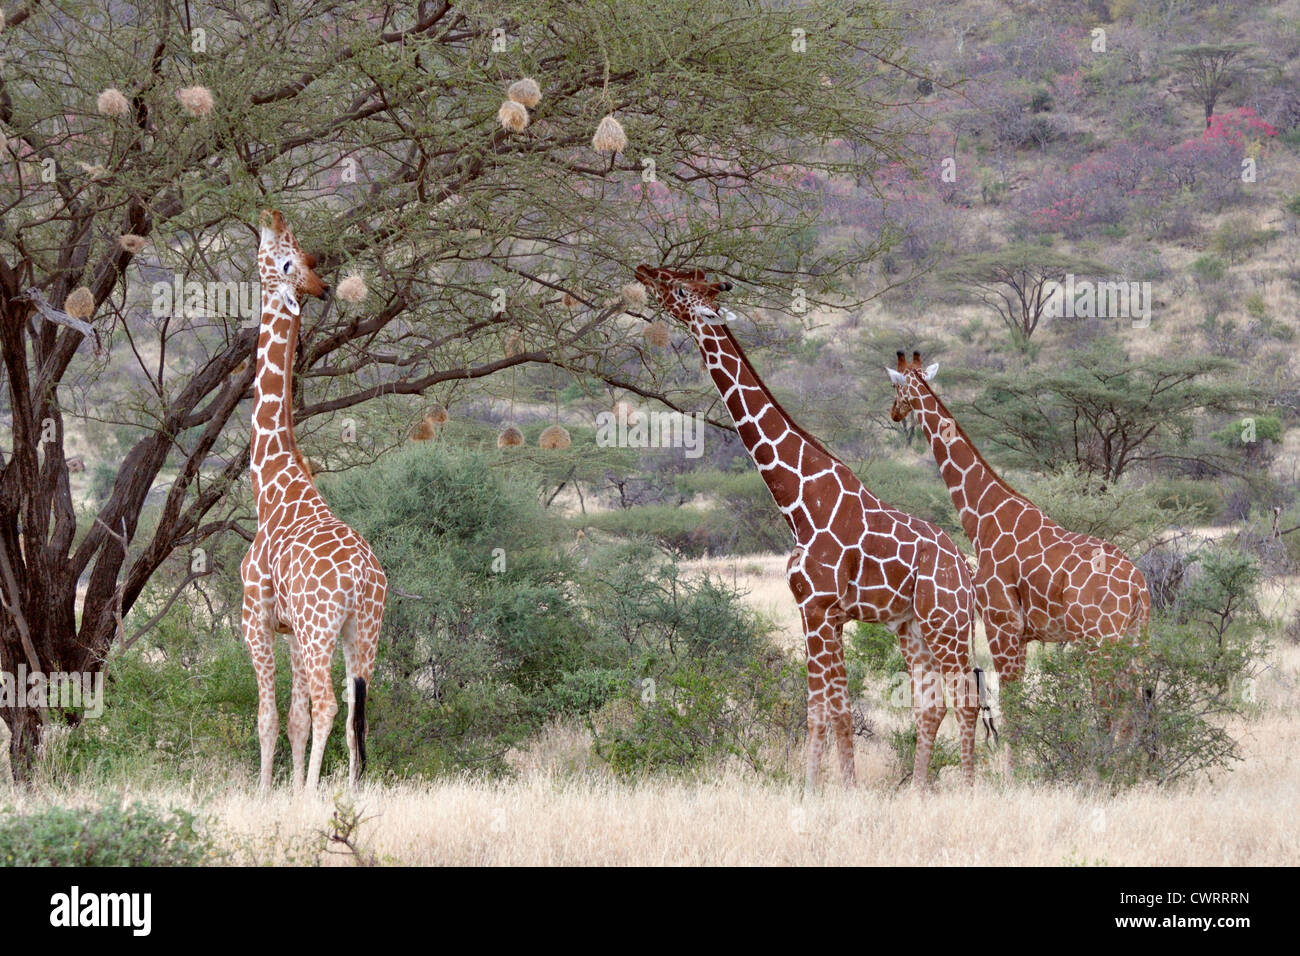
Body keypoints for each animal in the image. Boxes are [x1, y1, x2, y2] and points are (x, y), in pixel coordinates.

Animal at [635, 266, 979, 789]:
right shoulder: (813, 613)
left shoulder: (820, 610)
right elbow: (823, 708)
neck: (798, 503)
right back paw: (920, 791)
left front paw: (831, 789)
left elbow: (831, 710)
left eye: (679, 289)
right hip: (913, 627)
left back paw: (971, 788)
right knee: (931, 704)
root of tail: (966, 569)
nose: (643, 272)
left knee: (967, 700)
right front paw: (825, 785)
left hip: (948, 623)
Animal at [886, 350, 1150, 745]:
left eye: (894, 387)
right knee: (1136, 703)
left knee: (1111, 707)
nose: (894, 413)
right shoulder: (1022, 635)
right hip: (1134, 638)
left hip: (1100, 640)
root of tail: (1139, 587)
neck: (983, 517)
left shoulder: (1001, 627)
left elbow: (1013, 712)